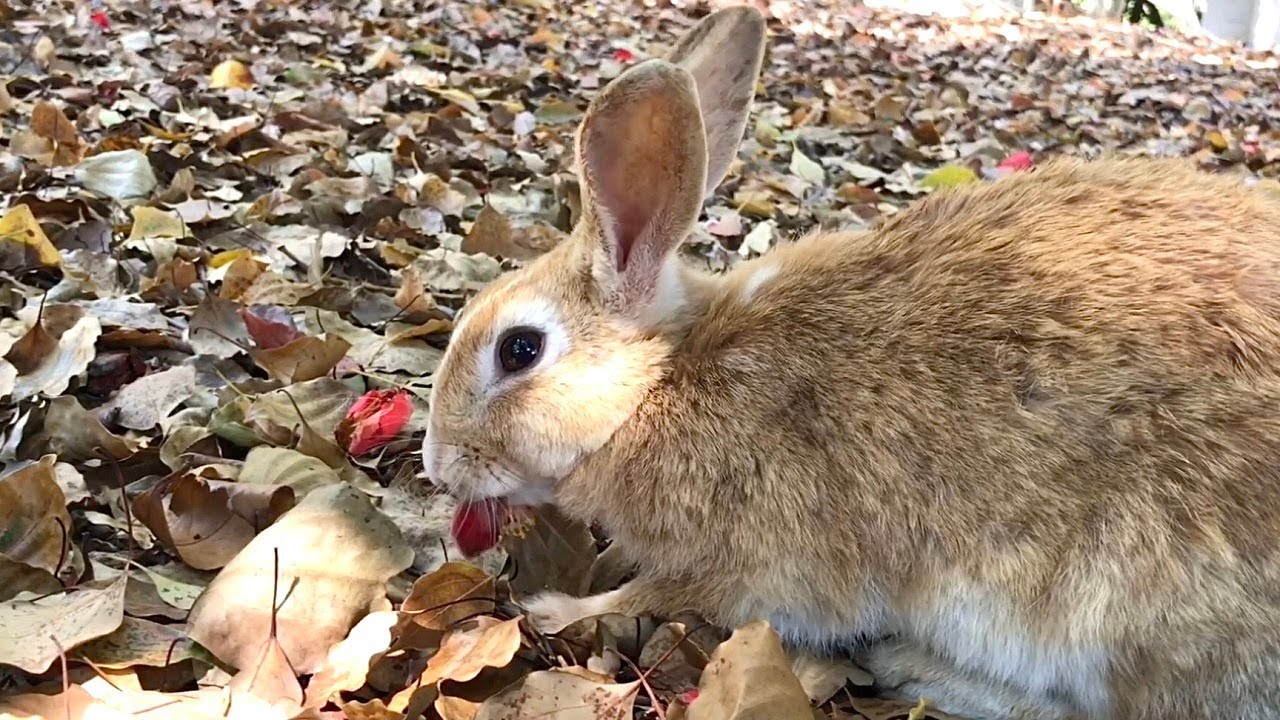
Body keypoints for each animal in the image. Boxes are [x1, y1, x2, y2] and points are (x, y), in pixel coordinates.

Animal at [421, 5, 1280, 719]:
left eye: (519, 349)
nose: (434, 464)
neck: (655, 389)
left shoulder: (741, 561)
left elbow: (647, 594)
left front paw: (554, 611)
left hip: (1114, 609)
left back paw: (913, 666)